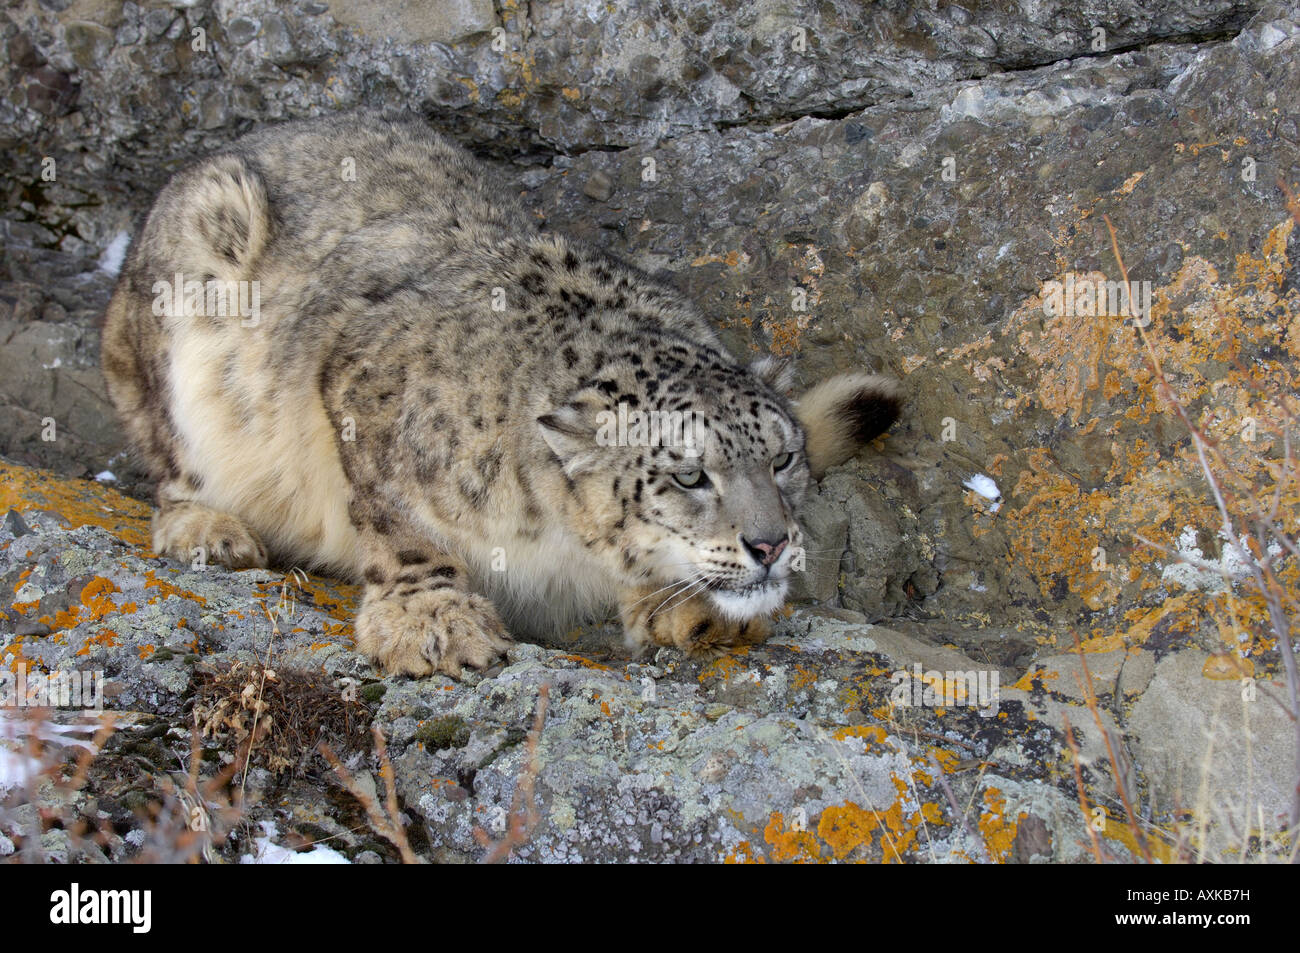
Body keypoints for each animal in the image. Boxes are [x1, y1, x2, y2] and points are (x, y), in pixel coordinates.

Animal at [101, 113, 901, 678]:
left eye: (783, 459)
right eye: (687, 474)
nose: (770, 544)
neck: (557, 544)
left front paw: (698, 609)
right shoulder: (360, 377)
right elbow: (395, 520)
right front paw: (433, 622)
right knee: (168, 460)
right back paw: (208, 526)